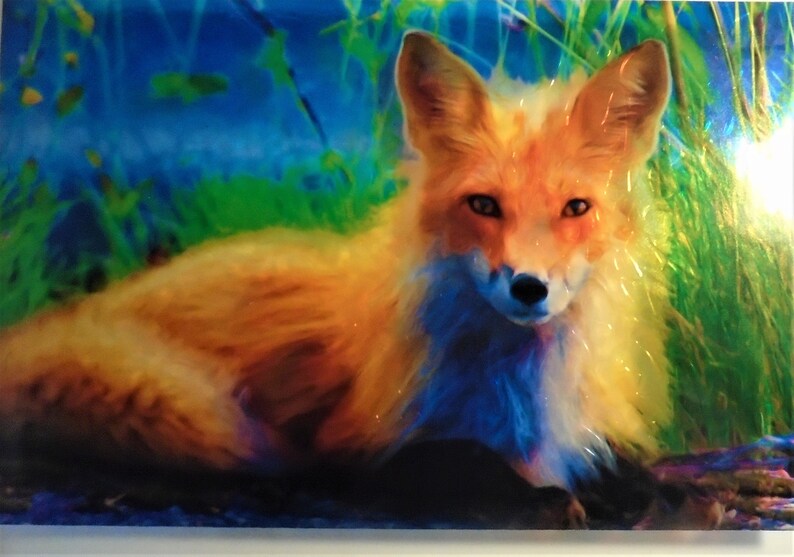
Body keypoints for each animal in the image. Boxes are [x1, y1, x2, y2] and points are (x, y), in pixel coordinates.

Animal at [0, 32, 674, 522]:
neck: (521, 390)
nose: (528, 287)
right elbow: (460, 459)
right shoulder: (363, 441)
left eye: (575, 209)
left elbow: (623, 466)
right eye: (484, 205)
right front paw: (548, 499)